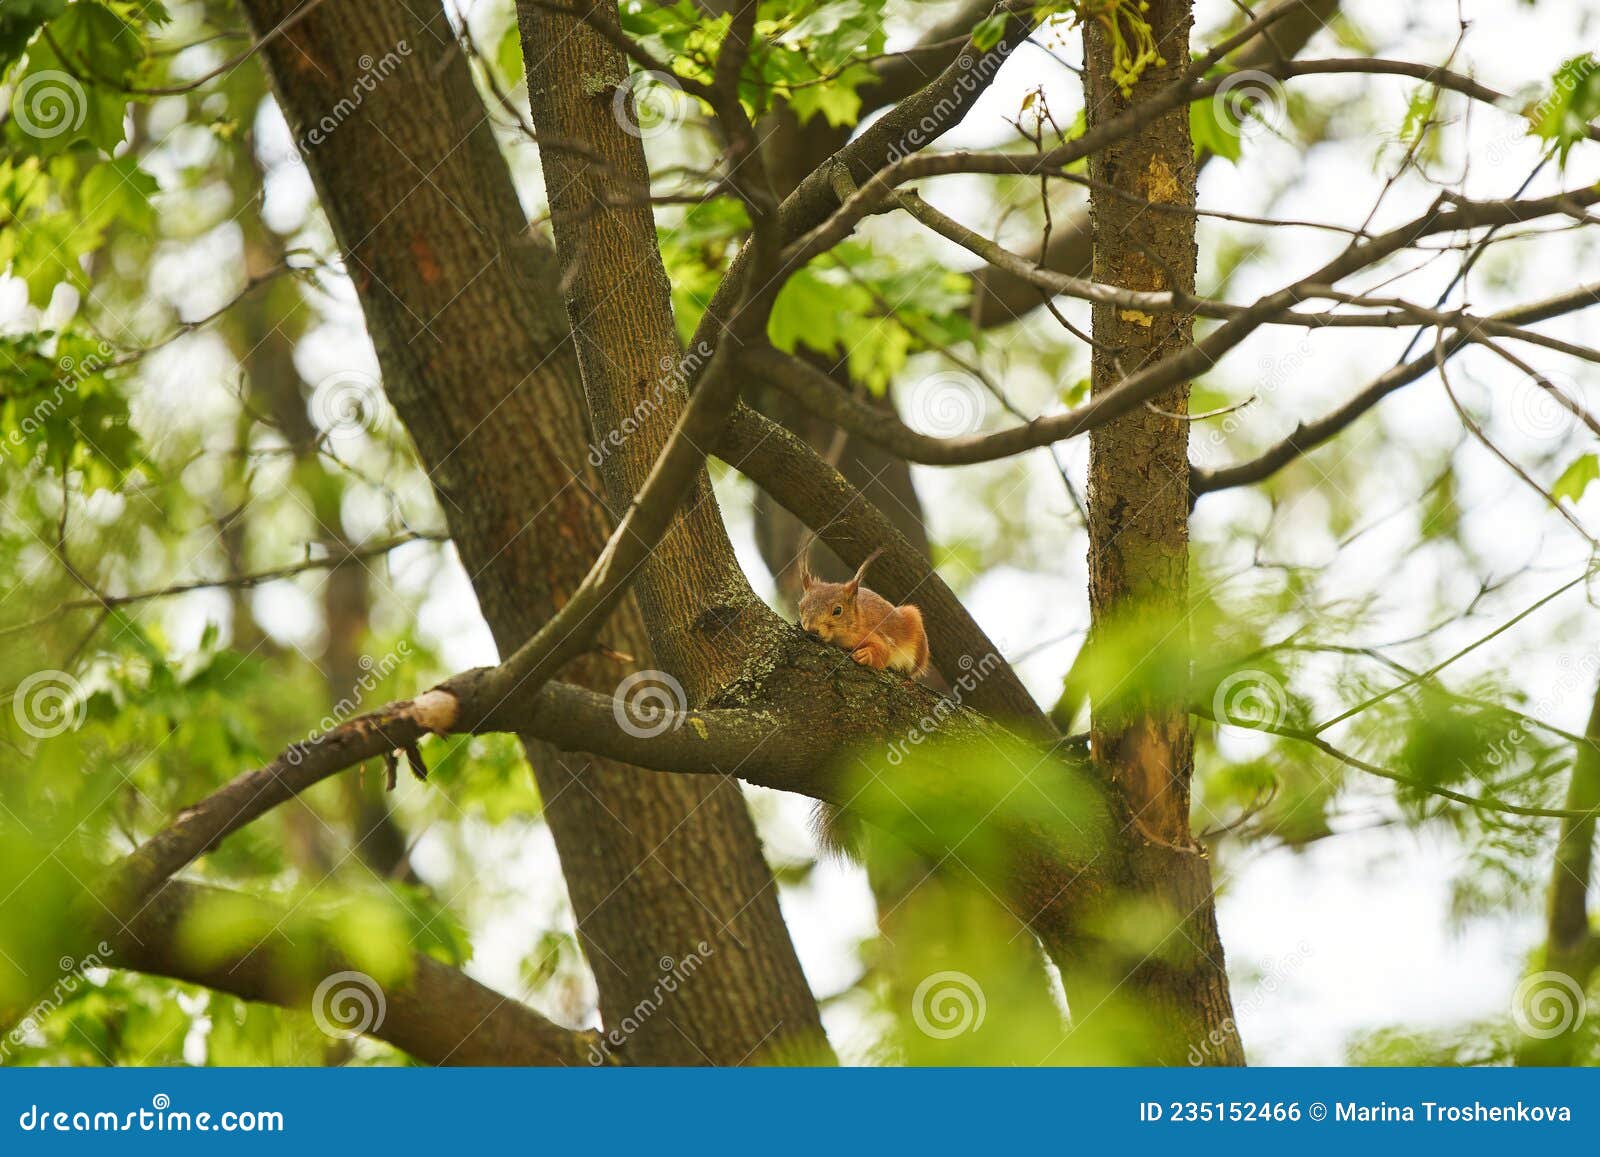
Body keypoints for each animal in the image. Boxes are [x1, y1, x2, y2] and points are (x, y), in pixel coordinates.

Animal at [797, 548, 929, 677]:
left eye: (837, 610)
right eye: (801, 607)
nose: (811, 629)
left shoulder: (870, 634)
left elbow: (884, 652)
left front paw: (866, 655)